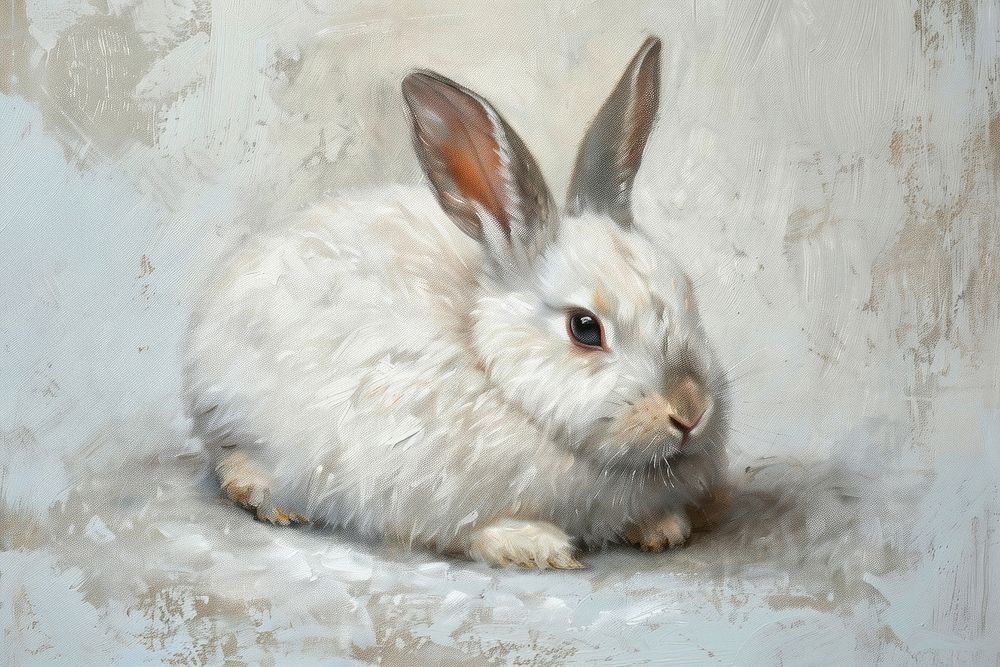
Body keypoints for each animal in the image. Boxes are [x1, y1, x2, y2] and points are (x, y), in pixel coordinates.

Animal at [185, 36, 730, 569]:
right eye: (584, 328)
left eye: (687, 292)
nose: (690, 412)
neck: (489, 366)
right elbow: (470, 531)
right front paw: (532, 544)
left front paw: (663, 529)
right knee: (232, 460)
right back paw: (270, 499)